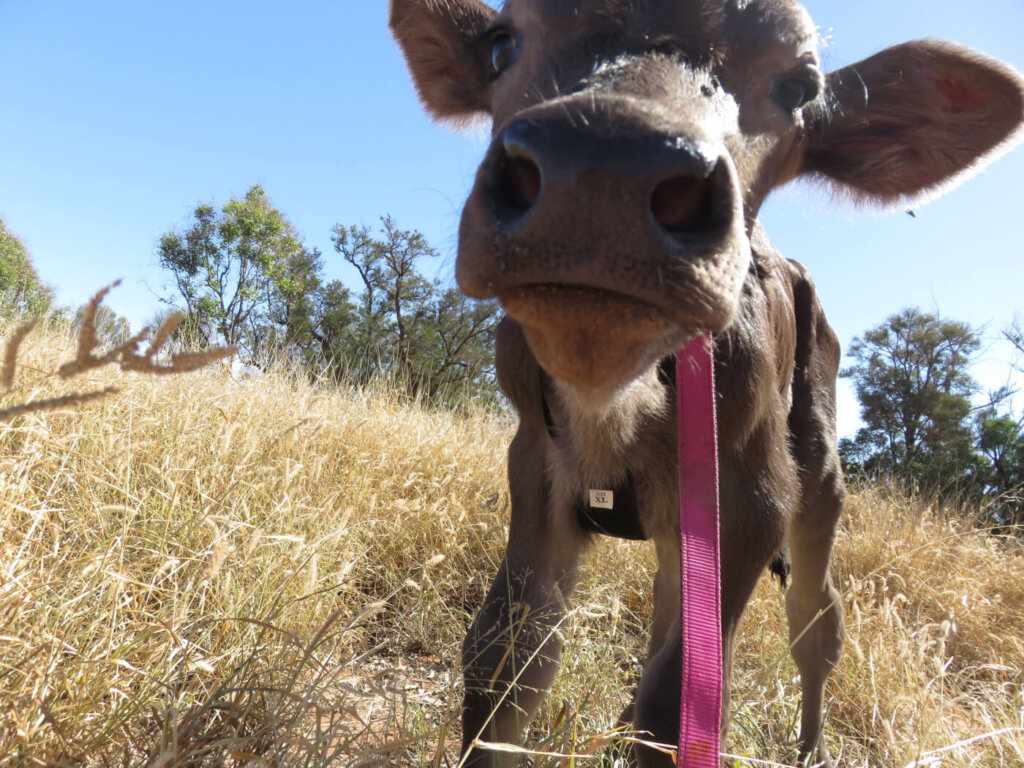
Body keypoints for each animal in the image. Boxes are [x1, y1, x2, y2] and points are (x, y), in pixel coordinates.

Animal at [388, 1, 1024, 765]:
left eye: (801, 86)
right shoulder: (534, 470)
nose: (603, 166)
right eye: (500, 44)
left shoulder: (754, 497)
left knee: (818, 621)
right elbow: (504, 662)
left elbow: (680, 705)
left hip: (819, 471)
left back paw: (811, 746)